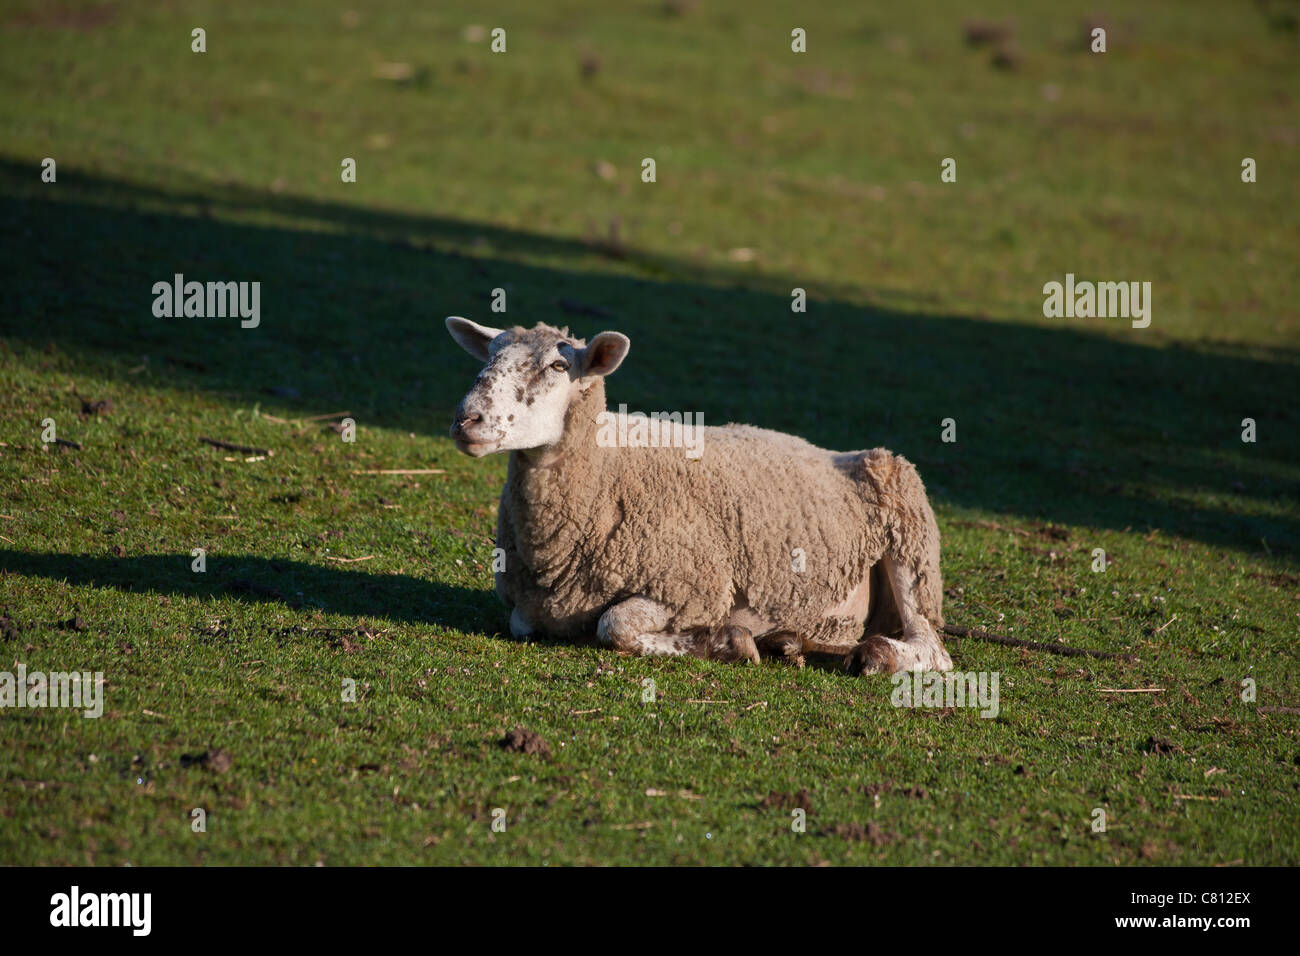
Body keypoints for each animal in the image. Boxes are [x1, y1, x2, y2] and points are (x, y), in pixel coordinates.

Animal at [445, 317, 953, 675]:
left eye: (557, 366)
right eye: (488, 357)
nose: (466, 419)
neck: (608, 472)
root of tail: (844, 453)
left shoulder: (696, 586)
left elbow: (615, 624)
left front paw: (727, 643)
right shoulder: (527, 606)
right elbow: (521, 623)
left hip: (910, 537)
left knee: (934, 649)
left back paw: (877, 655)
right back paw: (789, 641)